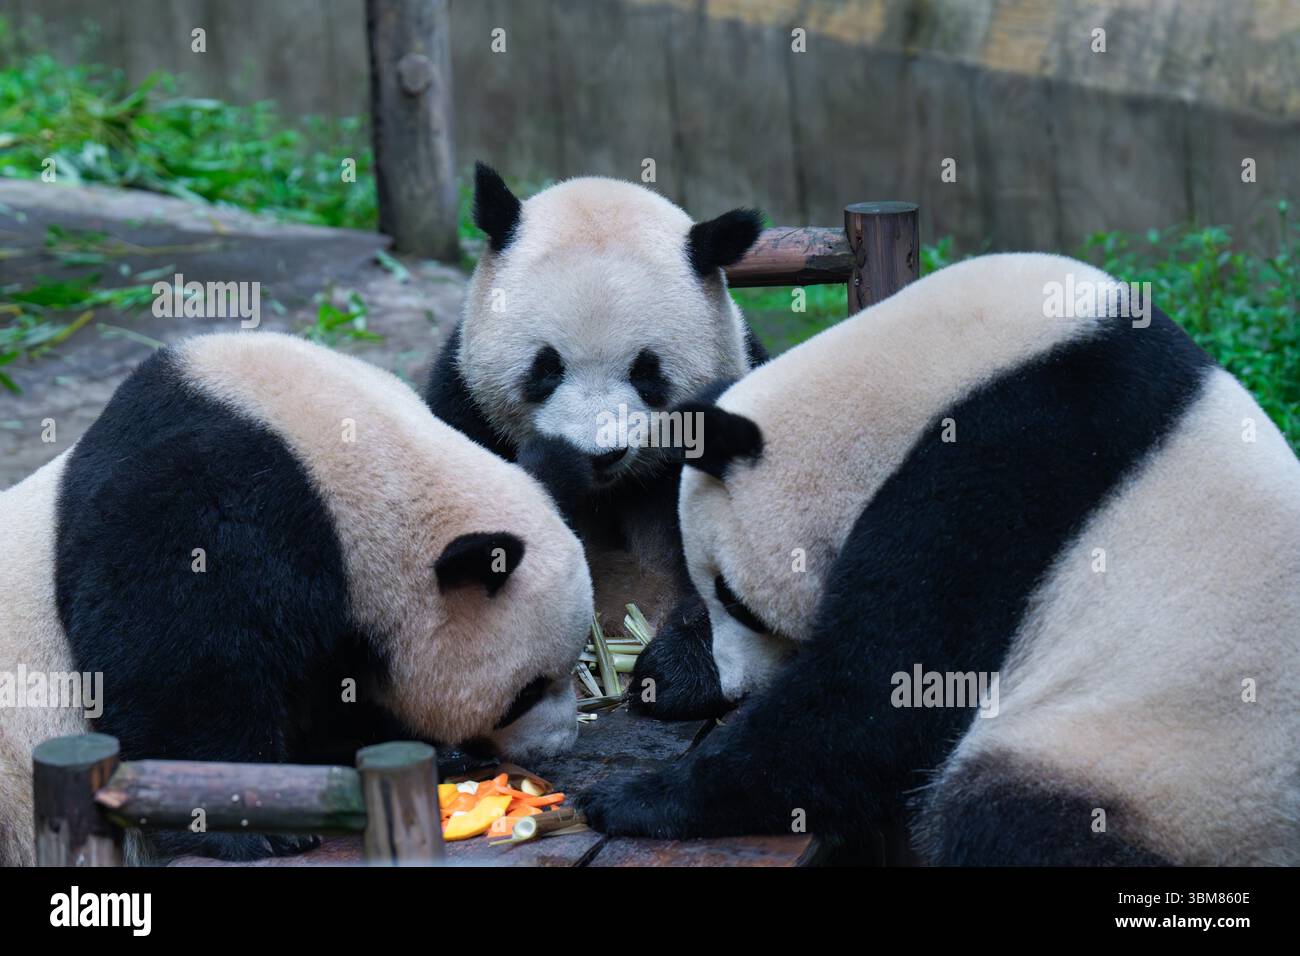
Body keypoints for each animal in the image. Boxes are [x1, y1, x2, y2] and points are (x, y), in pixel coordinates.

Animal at [579, 253, 1300, 866]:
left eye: (737, 598)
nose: (730, 680)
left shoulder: (999, 478)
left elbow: (883, 697)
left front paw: (634, 797)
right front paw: (667, 674)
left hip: (1163, 770)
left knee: (1009, 822)